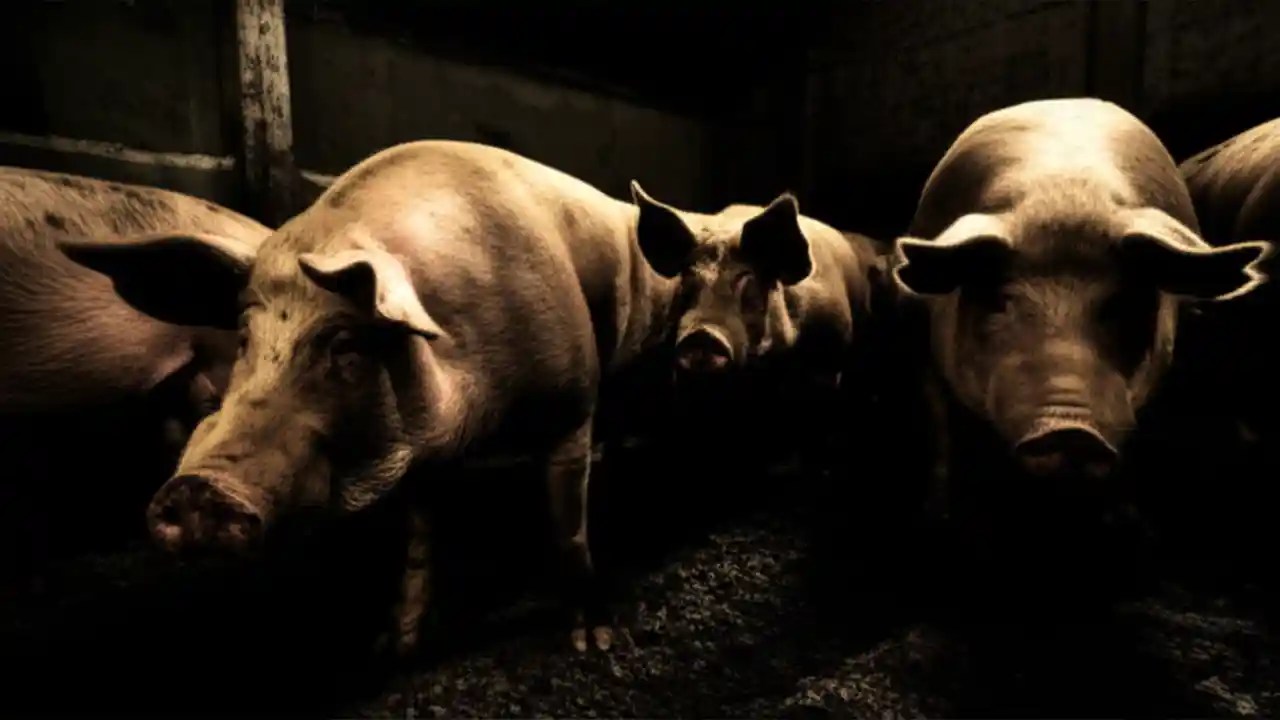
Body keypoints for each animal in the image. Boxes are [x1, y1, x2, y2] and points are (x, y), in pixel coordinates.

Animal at [56, 141, 686, 656]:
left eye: (346, 344)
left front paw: (593, 643)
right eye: (244, 338)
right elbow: (419, 541)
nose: (195, 488)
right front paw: (393, 645)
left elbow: (568, 527)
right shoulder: (421, 453)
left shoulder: (569, 401)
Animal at [887, 98, 1272, 537]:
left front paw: (1127, 522)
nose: (1070, 429)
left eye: (1122, 304)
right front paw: (937, 518)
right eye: (1001, 302)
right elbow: (941, 431)